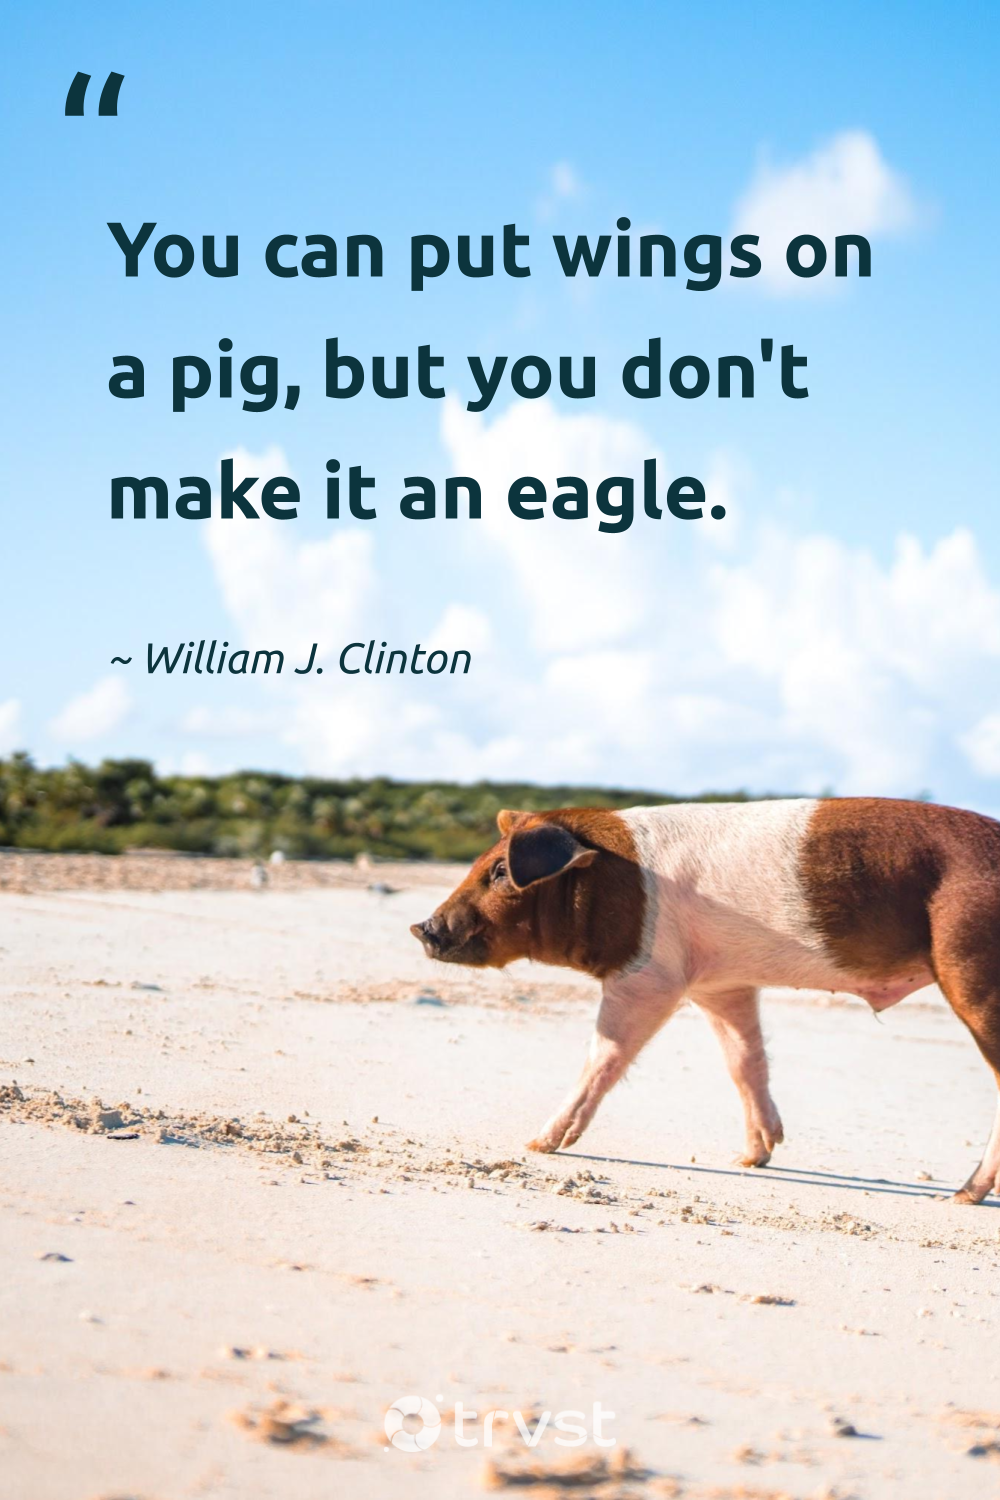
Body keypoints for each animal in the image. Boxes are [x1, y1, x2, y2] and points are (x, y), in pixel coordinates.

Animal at [411, 798, 1000, 1203]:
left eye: (500, 871)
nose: (421, 927)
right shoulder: (720, 983)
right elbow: (744, 1059)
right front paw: (753, 1158)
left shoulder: (651, 974)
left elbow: (604, 1053)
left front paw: (536, 1144)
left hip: (972, 966)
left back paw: (959, 1197)